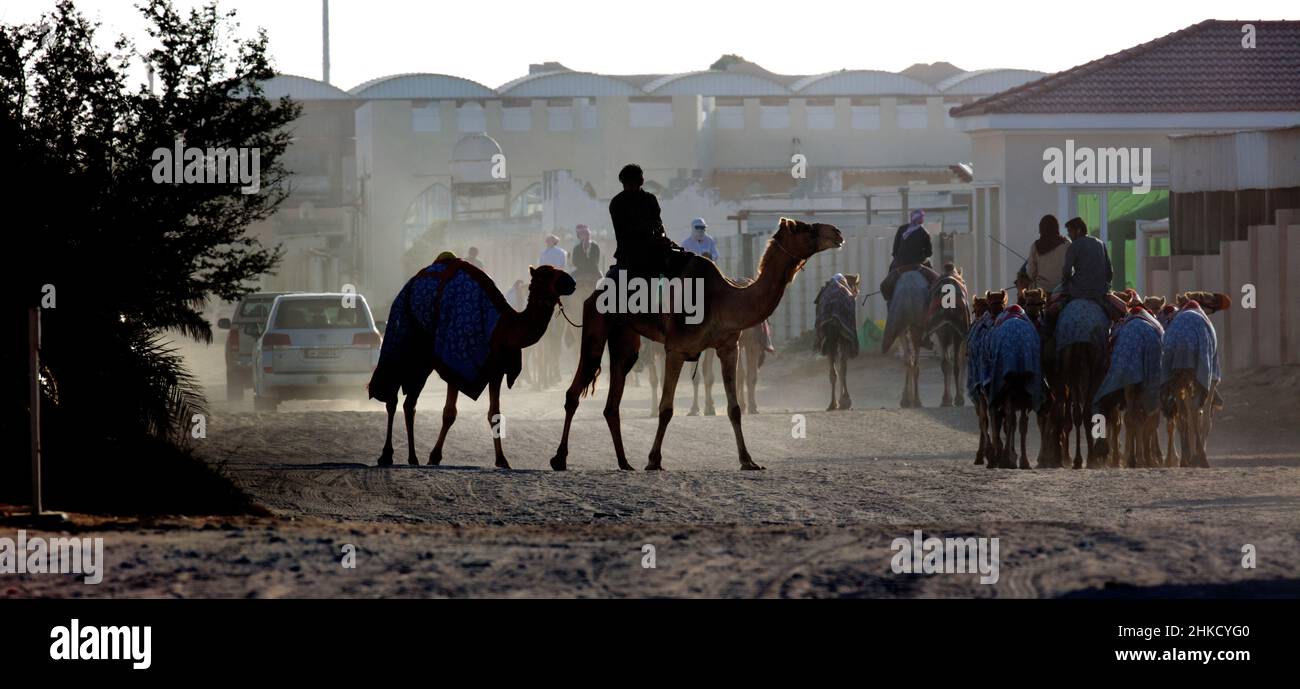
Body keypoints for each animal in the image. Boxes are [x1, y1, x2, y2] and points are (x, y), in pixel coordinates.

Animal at [373, 264, 576, 468]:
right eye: (547, 274)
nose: (571, 282)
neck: (504, 328)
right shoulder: (456, 362)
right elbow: (449, 413)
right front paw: (434, 457)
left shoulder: (496, 371)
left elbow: (494, 414)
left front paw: (502, 460)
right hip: (402, 342)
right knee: (391, 396)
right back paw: (386, 455)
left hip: (422, 363)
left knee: (409, 404)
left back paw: (413, 458)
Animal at [550, 217, 843, 471]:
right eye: (805, 228)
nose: (837, 233)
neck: (724, 299)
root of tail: (597, 289)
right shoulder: (676, 349)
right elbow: (666, 409)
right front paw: (654, 460)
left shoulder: (728, 347)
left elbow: (734, 409)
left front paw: (748, 460)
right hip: (596, 323)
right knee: (576, 387)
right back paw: (559, 459)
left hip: (625, 338)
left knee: (613, 399)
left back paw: (624, 463)